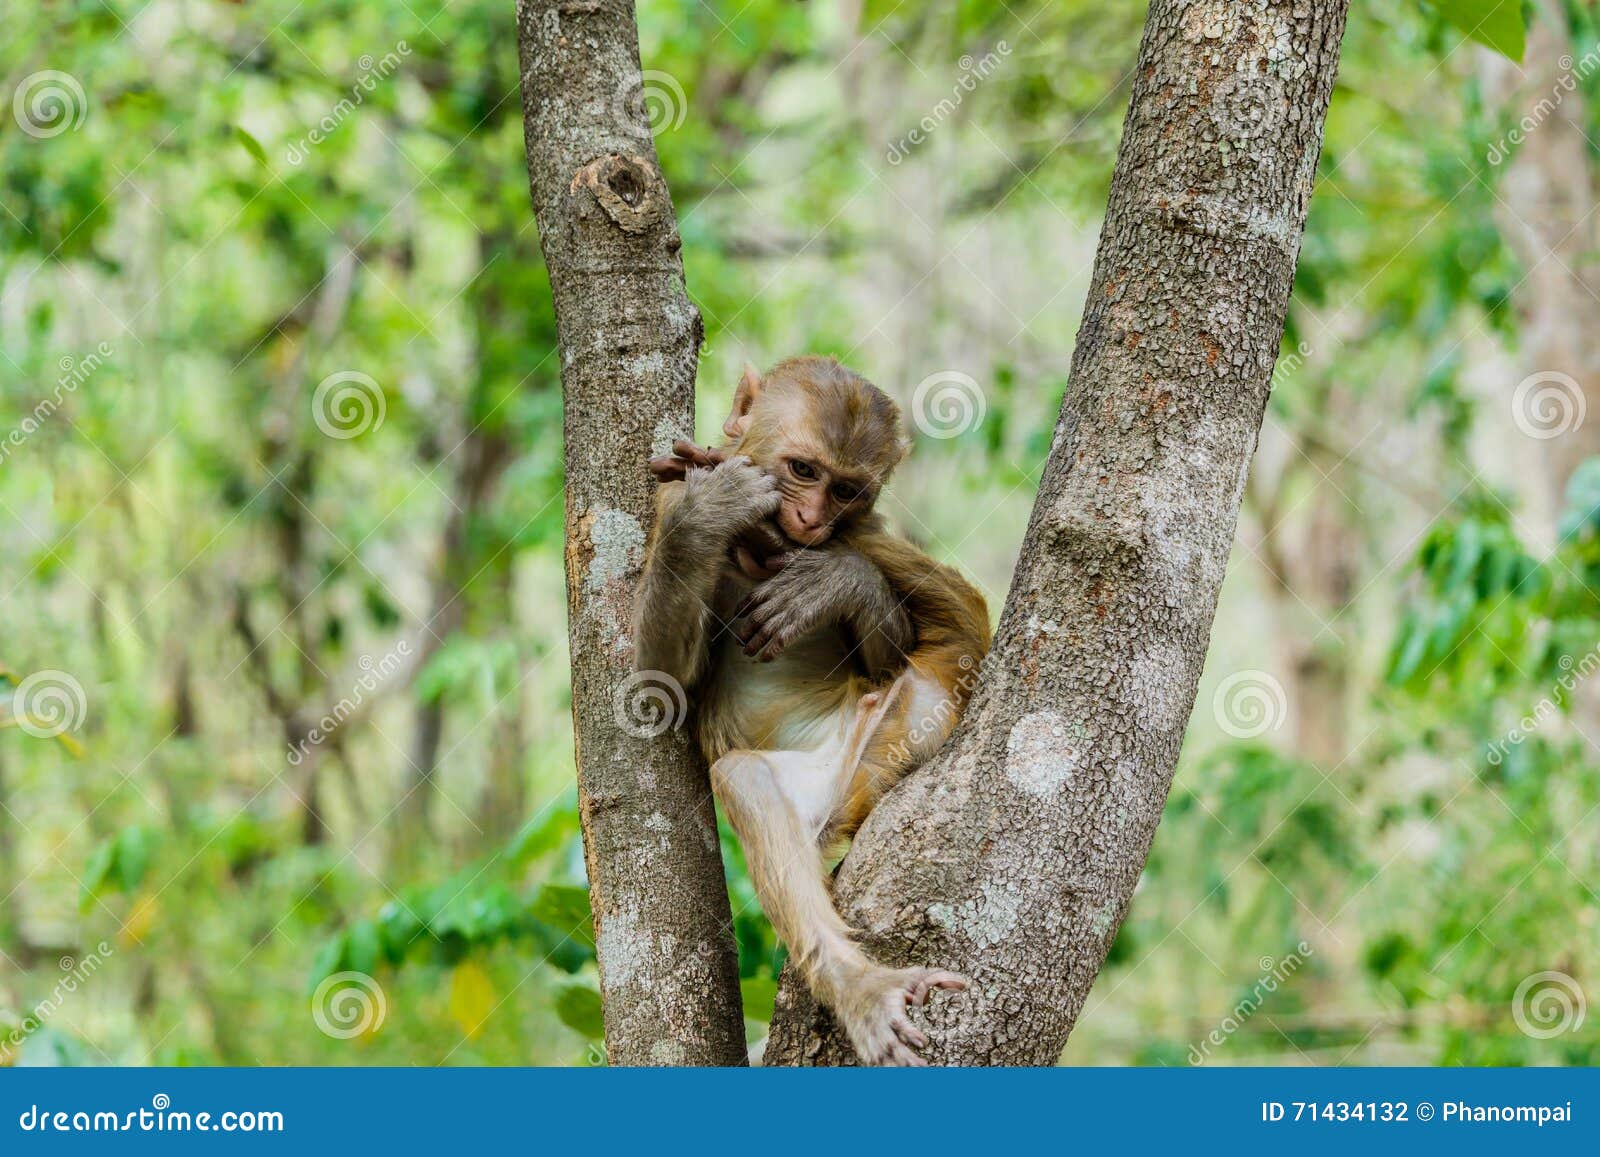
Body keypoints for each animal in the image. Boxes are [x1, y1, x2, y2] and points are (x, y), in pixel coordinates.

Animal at [632, 355, 991, 1066]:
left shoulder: (866, 530)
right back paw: (858, 987)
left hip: (896, 729)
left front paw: (837, 582)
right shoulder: (669, 499)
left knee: (946, 647)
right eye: (803, 470)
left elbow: (934, 622)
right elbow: (663, 685)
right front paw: (711, 513)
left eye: (846, 490)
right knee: (745, 777)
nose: (807, 520)